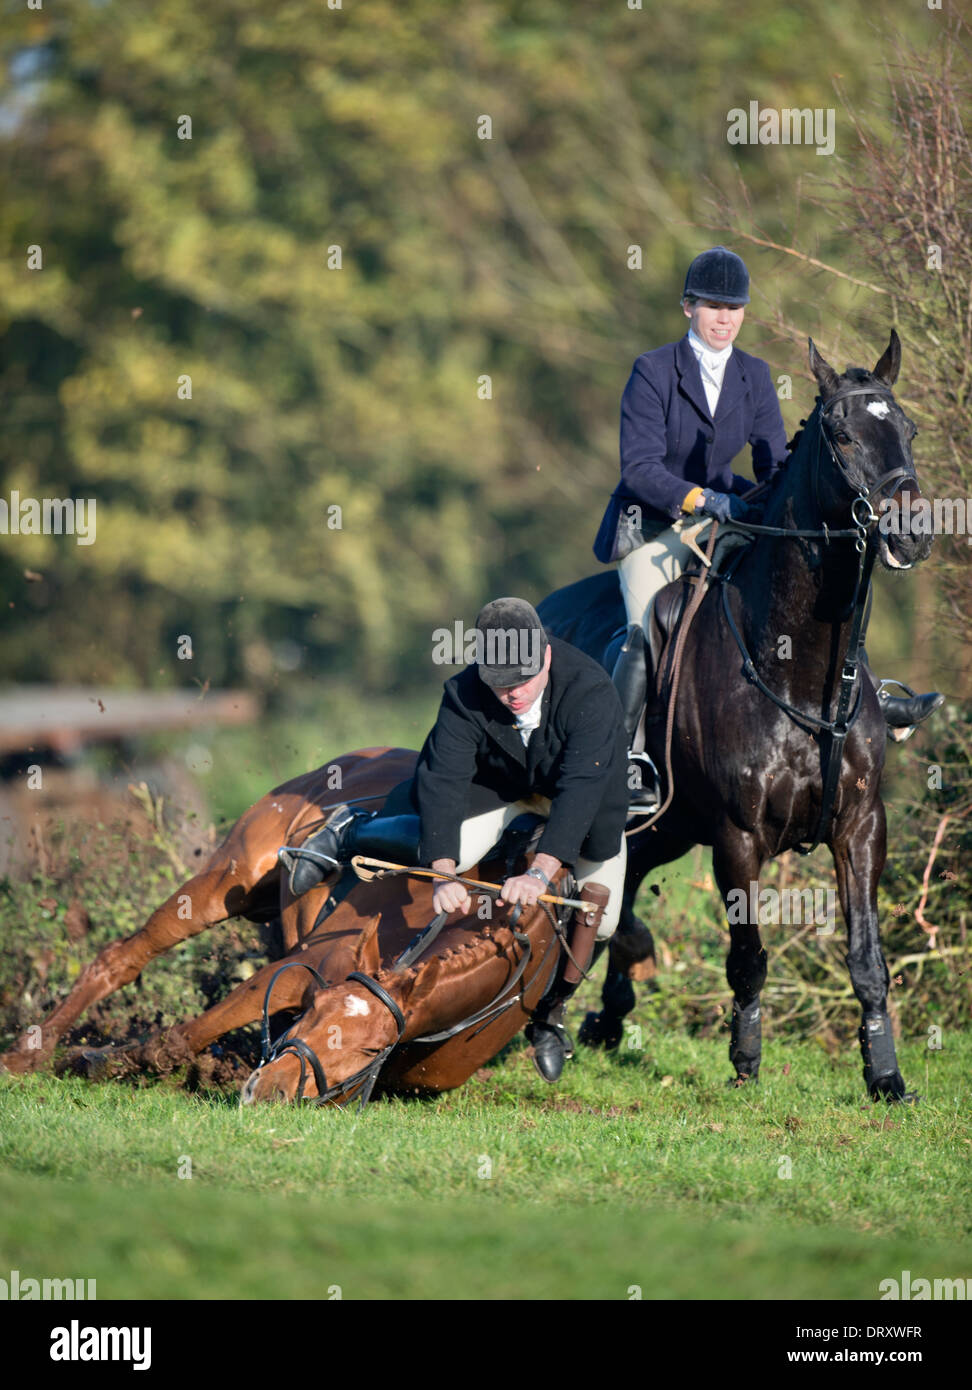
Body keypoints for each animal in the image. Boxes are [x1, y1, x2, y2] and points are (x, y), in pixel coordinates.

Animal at [0, 746, 583, 1103]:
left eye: (369, 1049)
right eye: (316, 1011)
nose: (266, 1089)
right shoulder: (305, 968)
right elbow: (189, 1034)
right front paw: (102, 1060)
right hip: (228, 878)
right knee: (120, 958)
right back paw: (29, 1052)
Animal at [538, 332, 934, 1101]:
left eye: (908, 428)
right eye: (842, 435)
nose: (910, 536)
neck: (798, 672)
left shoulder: (861, 826)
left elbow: (867, 957)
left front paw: (885, 1074)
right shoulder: (738, 836)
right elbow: (749, 955)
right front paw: (746, 1061)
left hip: (666, 824)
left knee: (626, 884)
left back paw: (607, 1016)